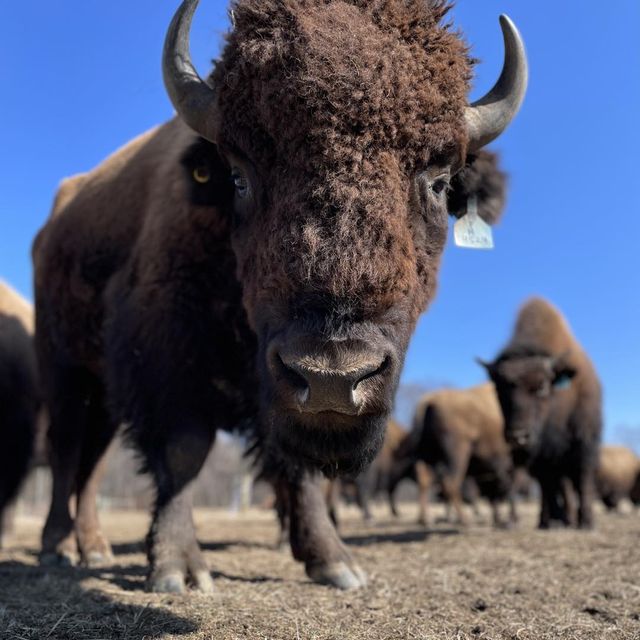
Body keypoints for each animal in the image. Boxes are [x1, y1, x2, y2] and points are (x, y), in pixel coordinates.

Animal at [33, 0, 527, 591]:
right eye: (239, 176)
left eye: (438, 181)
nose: (333, 376)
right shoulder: (166, 356)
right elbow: (182, 450)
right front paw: (178, 569)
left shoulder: (275, 395)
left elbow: (297, 466)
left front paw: (335, 562)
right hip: (63, 369)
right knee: (66, 452)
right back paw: (59, 548)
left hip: (100, 390)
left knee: (92, 462)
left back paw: (95, 547)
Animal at [479, 298, 602, 529]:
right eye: (499, 389)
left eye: (542, 386)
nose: (518, 436)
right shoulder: (540, 455)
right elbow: (547, 484)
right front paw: (545, 521)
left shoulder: (584, 439)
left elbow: (583, 477)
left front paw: (587, 521)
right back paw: (560, 518)